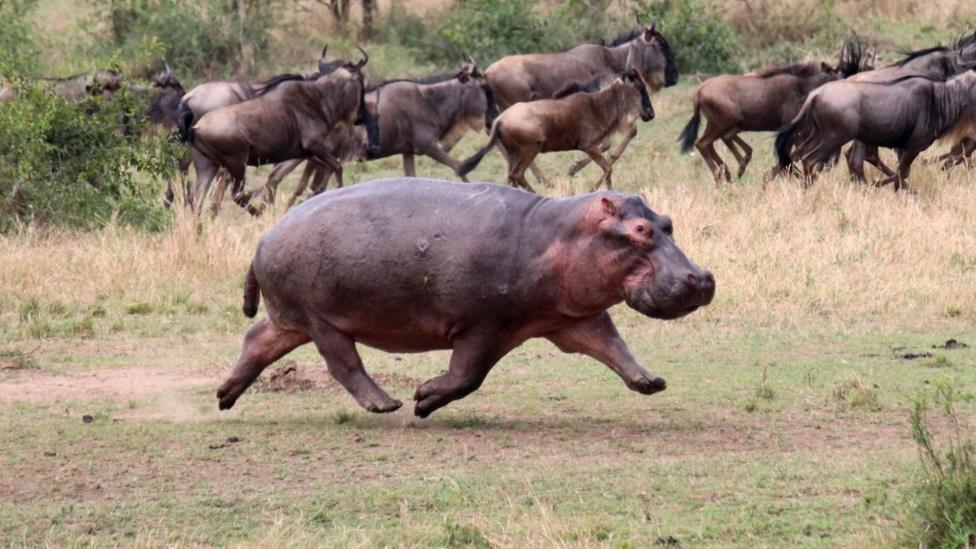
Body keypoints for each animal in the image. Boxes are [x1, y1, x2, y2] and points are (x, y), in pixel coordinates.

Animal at [217, 178, 715, 417]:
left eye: (668, 222)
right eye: (641, 229)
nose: (702, 278)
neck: (560, 234)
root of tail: (264, 237)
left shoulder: (573, 317)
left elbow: (613, 346)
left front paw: (650, 382)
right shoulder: (485, 325)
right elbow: (467, 376)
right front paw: (422, 398)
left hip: (290, 317)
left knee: (256, 339)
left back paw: (224, 396)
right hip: (322, 319)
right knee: (343, 363)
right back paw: (386, 404)